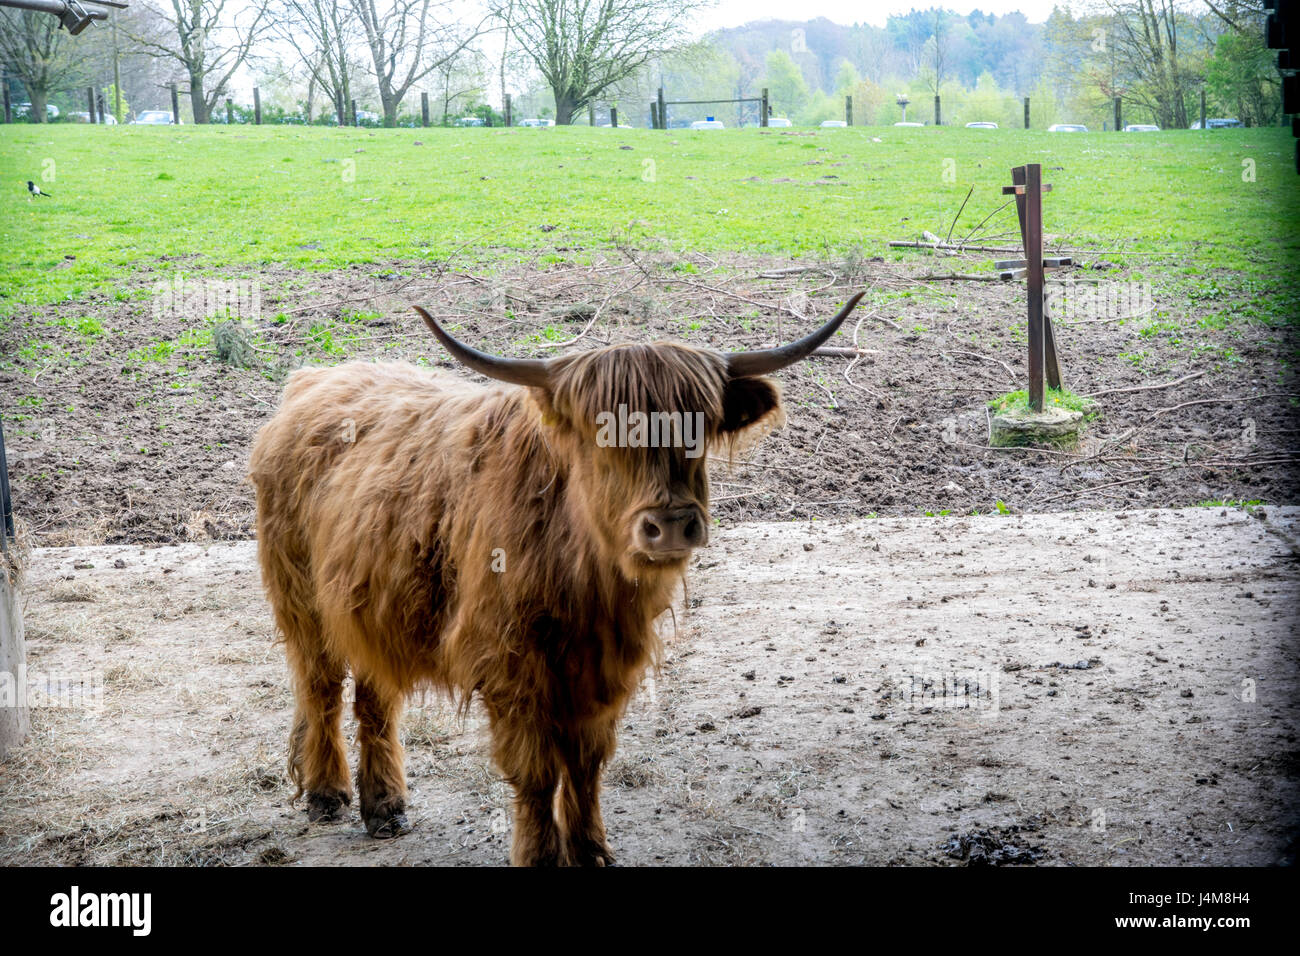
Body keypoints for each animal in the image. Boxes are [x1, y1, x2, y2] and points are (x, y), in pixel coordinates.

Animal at [248, 291, 865, 865]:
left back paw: (385, 807)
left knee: (374, 698)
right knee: (322, 688)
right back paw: (327, 794)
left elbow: (587, 763)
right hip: (303, 602)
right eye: (602, 434)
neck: (586, 573)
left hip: (374, 605)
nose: (670, 524)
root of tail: (314, 378)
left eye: (699, 429)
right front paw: (542, 855)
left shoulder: (604, 666)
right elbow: (537, 770)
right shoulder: (511, 663)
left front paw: (591, 849)